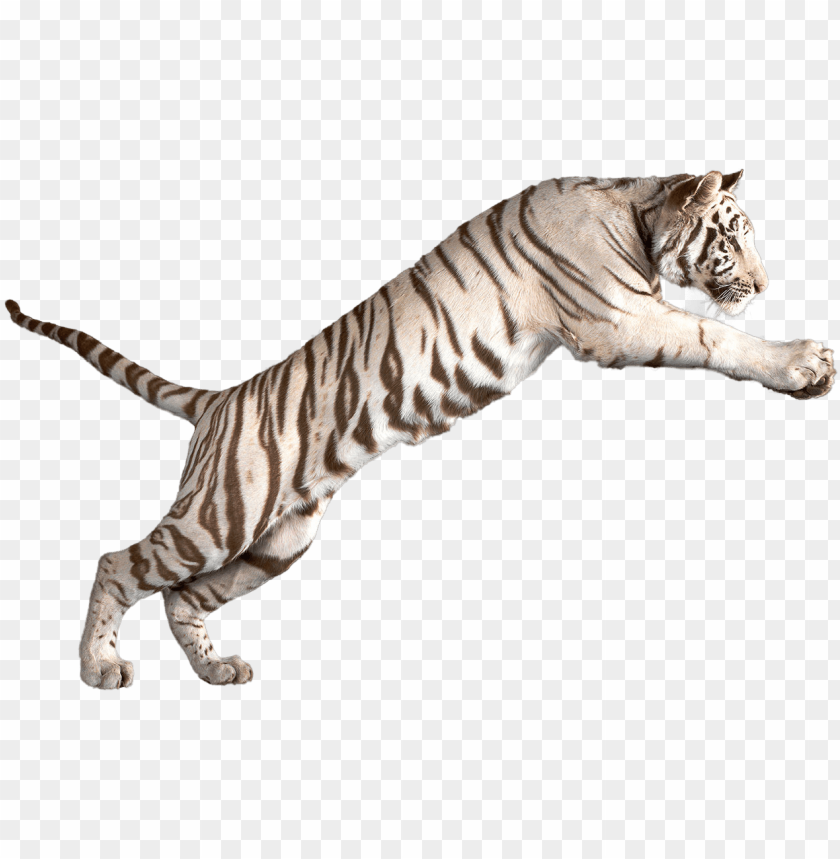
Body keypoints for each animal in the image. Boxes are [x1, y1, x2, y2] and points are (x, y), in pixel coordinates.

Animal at [6, 169, 835, 689]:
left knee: (184, 596)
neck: (636, 211)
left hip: (278, 540)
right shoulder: (619, 319)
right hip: (220, 514)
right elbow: (714, 335)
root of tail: (222, 399)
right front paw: (803, 361)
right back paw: (97, 668)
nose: (763, 283)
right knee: (117, 562)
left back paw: (216, 669)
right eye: (732, 237)